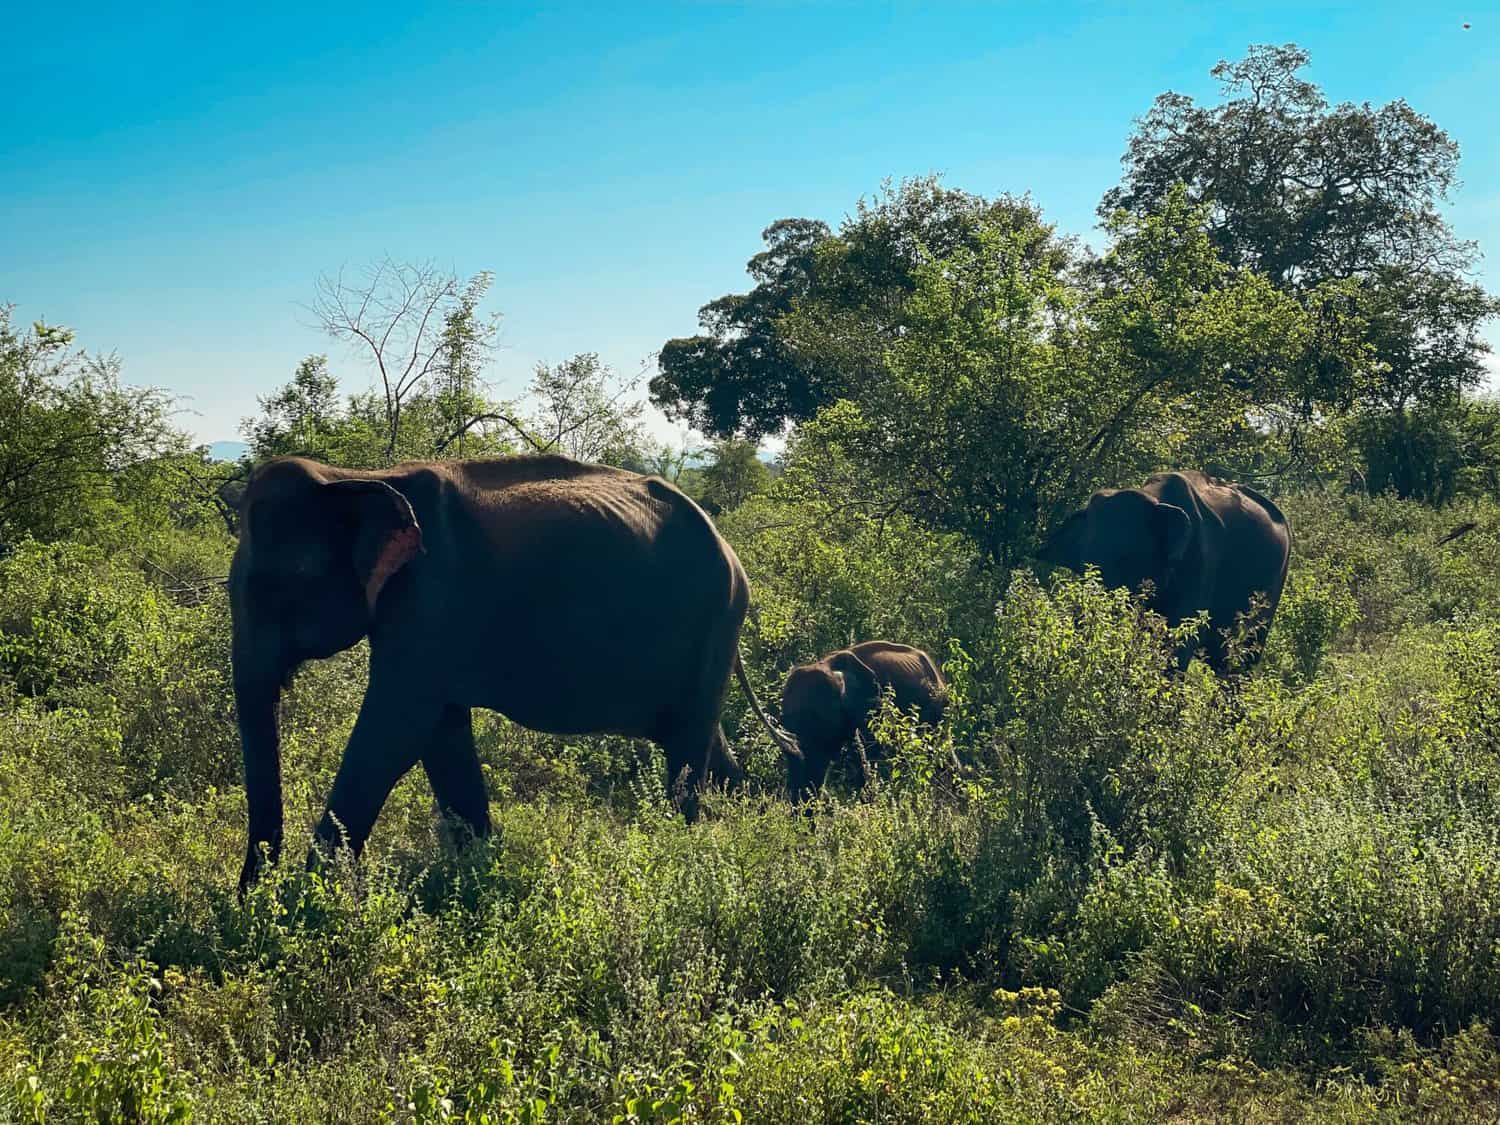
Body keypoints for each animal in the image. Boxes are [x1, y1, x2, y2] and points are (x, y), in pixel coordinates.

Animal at [223, 454, 794, 893]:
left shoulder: (431, 598)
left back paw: (685, 847)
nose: (250, 893)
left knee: (688, 752)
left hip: (717, 617)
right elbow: (442, 733)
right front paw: (477, 873)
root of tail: (729, 548)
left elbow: (395, 729)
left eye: (282, 585)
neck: (354, 476)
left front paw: (305, 907)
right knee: (706, 742)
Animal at [1038, 470, 1292, 673]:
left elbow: (1179, 642)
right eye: (1083, 565)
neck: (1156, 500)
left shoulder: (1202, 564)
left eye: (1126, 559)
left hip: (1274, 589)